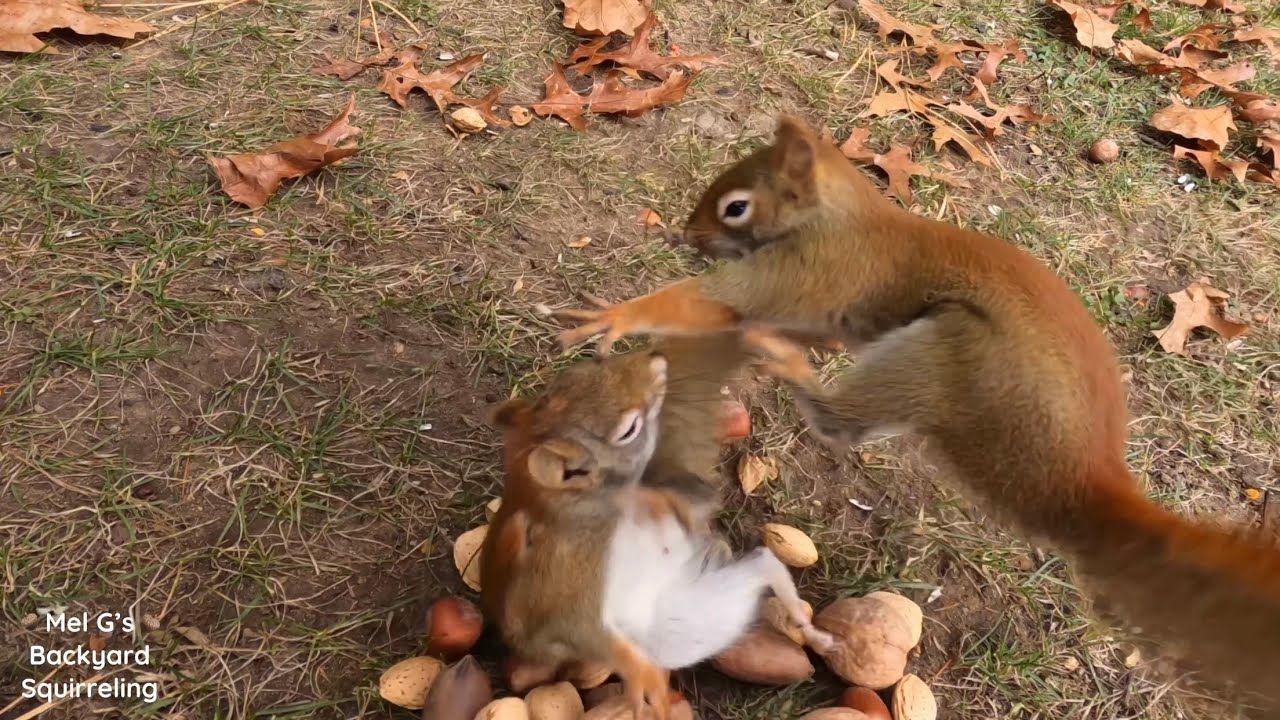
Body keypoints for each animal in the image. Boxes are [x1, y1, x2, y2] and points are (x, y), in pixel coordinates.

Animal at [479, 340, 833, 720]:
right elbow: (582, 629)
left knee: (761, 560)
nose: (656, 360)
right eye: (628, 430)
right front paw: (641, 679)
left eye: (583, 368)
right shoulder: (570, 576)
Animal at [544, 114, 1280, 711]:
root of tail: (1083, 480)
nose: (688, 234)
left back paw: (787, 364)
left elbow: (710, 301)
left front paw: (615, 318)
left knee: (840, 420)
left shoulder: (808, 270)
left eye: (735, 206)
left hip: (945, 358)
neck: (844, 217)